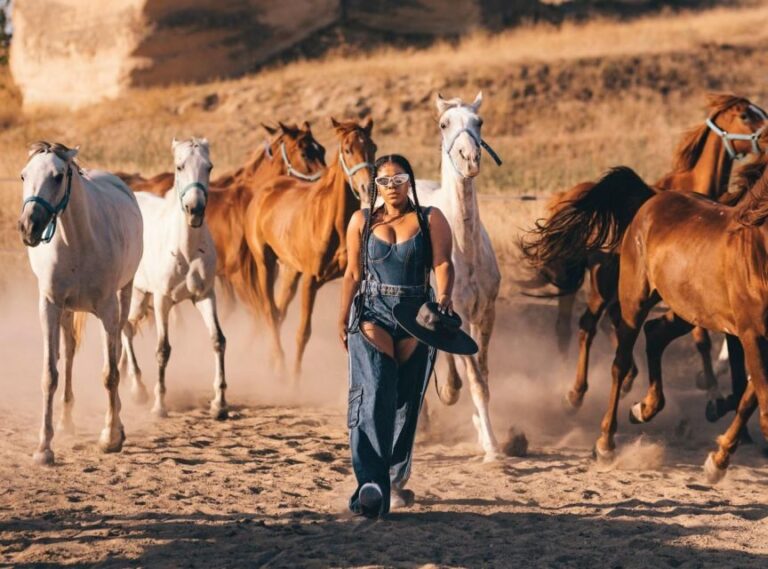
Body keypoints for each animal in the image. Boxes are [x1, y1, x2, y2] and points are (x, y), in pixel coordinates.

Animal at [17, 142, 143, 465]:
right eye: (24, 176)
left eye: (58, 176)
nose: (29, 226)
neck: (78, 242)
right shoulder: (49, 307)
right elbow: (50, 374)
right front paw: (44, 447)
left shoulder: (108, 311)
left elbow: (110, 374)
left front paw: (110, 437)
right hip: (66, 311)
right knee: (70, 352)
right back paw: (66, 422)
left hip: (123, 295)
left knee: (118, 344)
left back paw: (117, 423)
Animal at [119, 138, 228, 419]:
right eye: (180, 166)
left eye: (209, 167)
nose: (195, 210)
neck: (186, 249)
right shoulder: (162, 301)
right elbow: (163, 350)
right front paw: (160, 405)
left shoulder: (205, 296)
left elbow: (218, 340)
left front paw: (220, 404)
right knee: (125, 328)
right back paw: (138, 389)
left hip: (140, 296)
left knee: (128, 327)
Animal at [242, 117, 376, 379]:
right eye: (347, 149)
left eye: (373, 148)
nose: (367, 188)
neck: (334, 223)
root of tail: (265, 190)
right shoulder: (311, 280)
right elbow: (303, 333)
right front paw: (295, 380)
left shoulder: (351, 278)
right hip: (266, 265)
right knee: (270, 312)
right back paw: (280, 366)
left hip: (290, 270)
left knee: (279, 311)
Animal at [523, 94, 768, 412]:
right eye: (745, 115)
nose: (767, 134)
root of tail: (566, 196)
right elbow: (702, 339)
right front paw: (712, 390)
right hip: (602, 281)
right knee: (588, 325)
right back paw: (577, 392)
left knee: (599, 322)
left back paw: (622, 378)